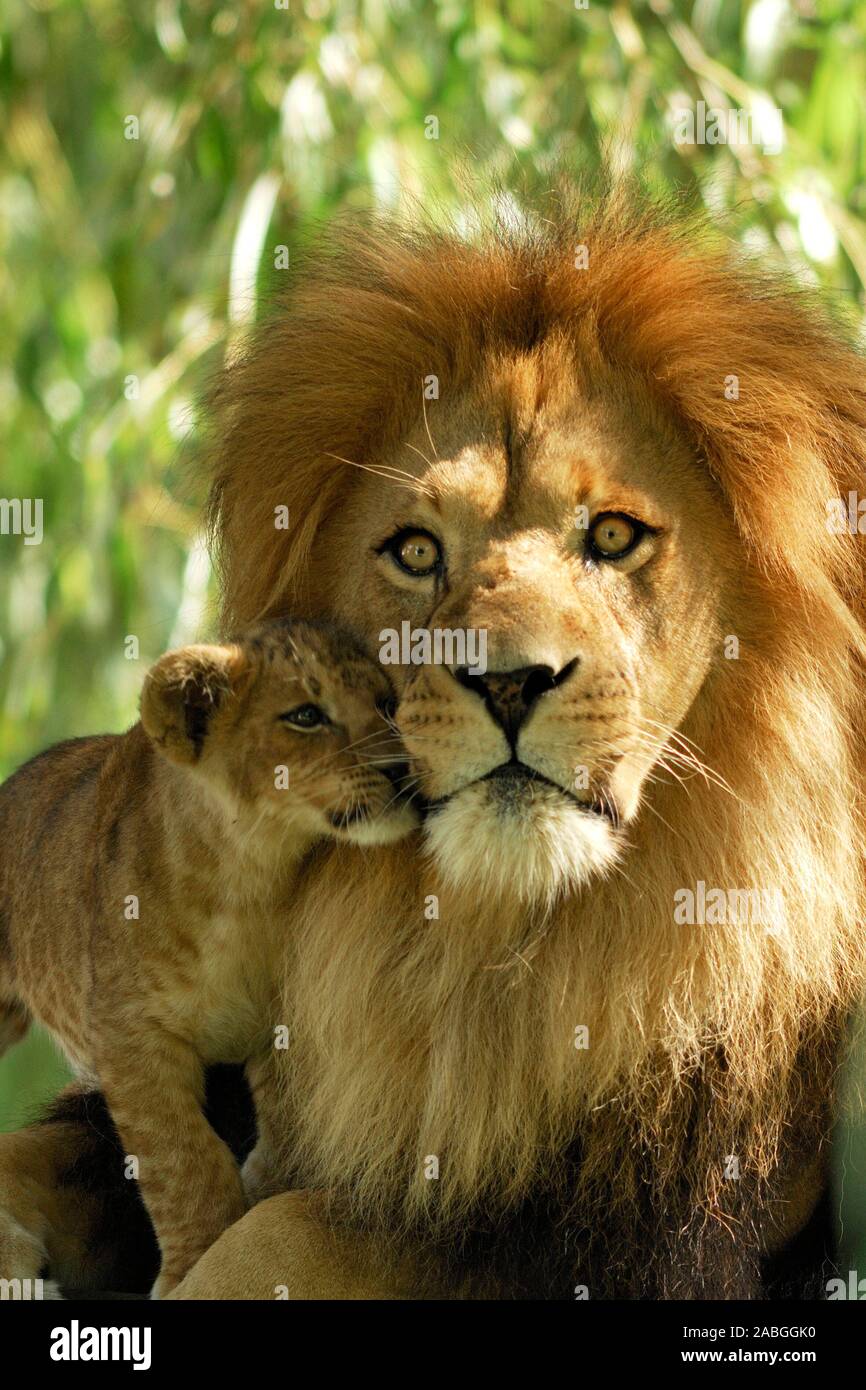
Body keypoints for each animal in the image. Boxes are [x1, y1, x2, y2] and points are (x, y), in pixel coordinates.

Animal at [1, 186, 865, 1299]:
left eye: (612, 535)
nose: (508, 680)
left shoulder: (636, 1236)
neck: (478, 952)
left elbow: (290, 1228)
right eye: (416, 552)